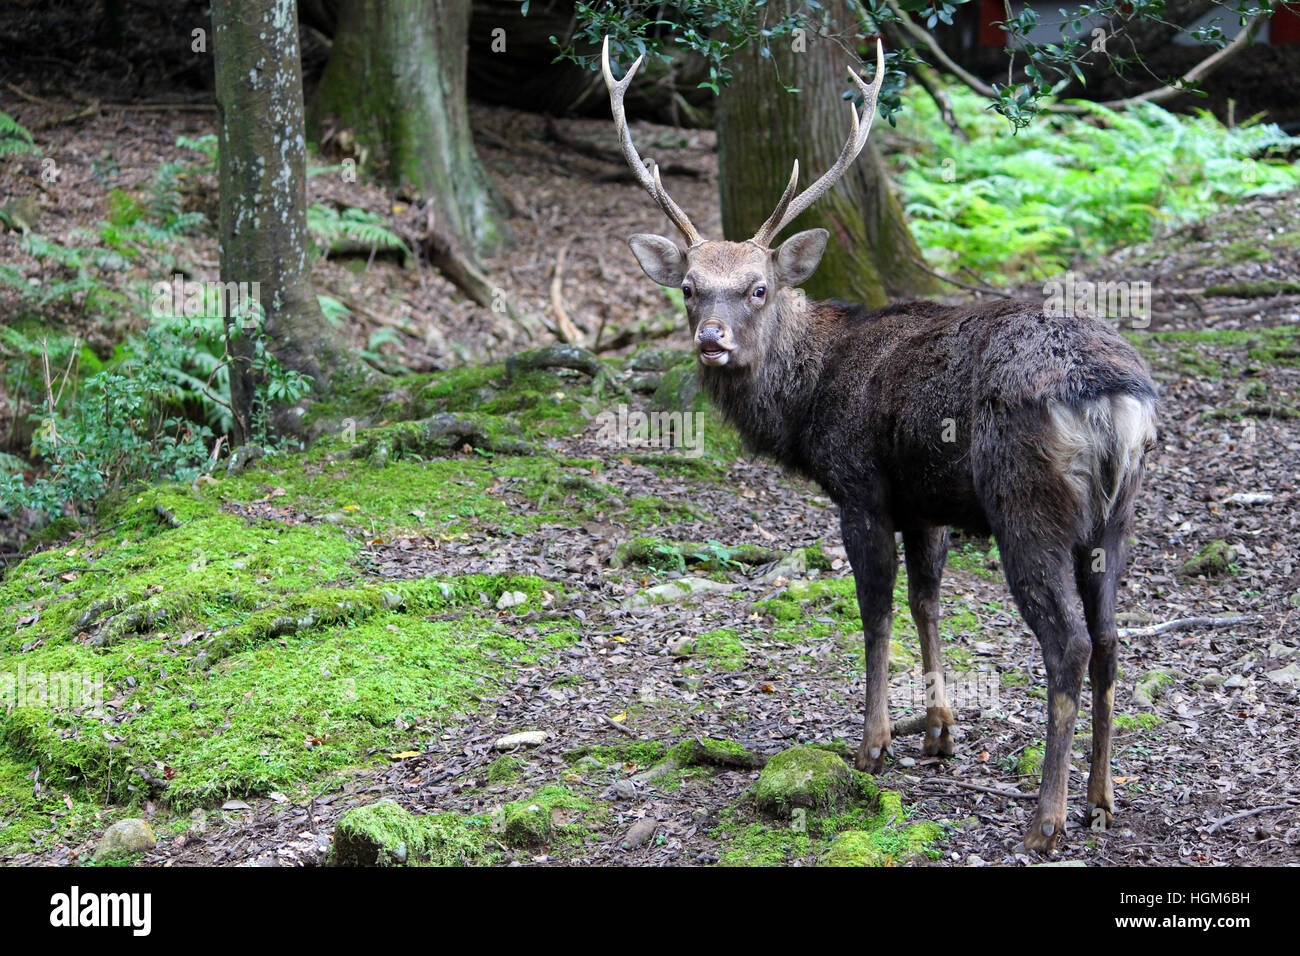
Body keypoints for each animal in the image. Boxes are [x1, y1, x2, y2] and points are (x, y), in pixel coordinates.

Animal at [601, 36, 1158, 852]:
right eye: (689, 288)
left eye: (759, 287)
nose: (713, 340)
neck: (808, 400)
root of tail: (1113, 396)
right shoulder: (924, 503)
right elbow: (928, 599)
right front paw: (940, 731)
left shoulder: (860, 488)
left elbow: (876, 613)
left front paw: (872, 747)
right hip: (1117, 515)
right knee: (1113, 635)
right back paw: (1104, 798)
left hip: (1026, 505)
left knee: (1070, 644)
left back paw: (1047, 819)